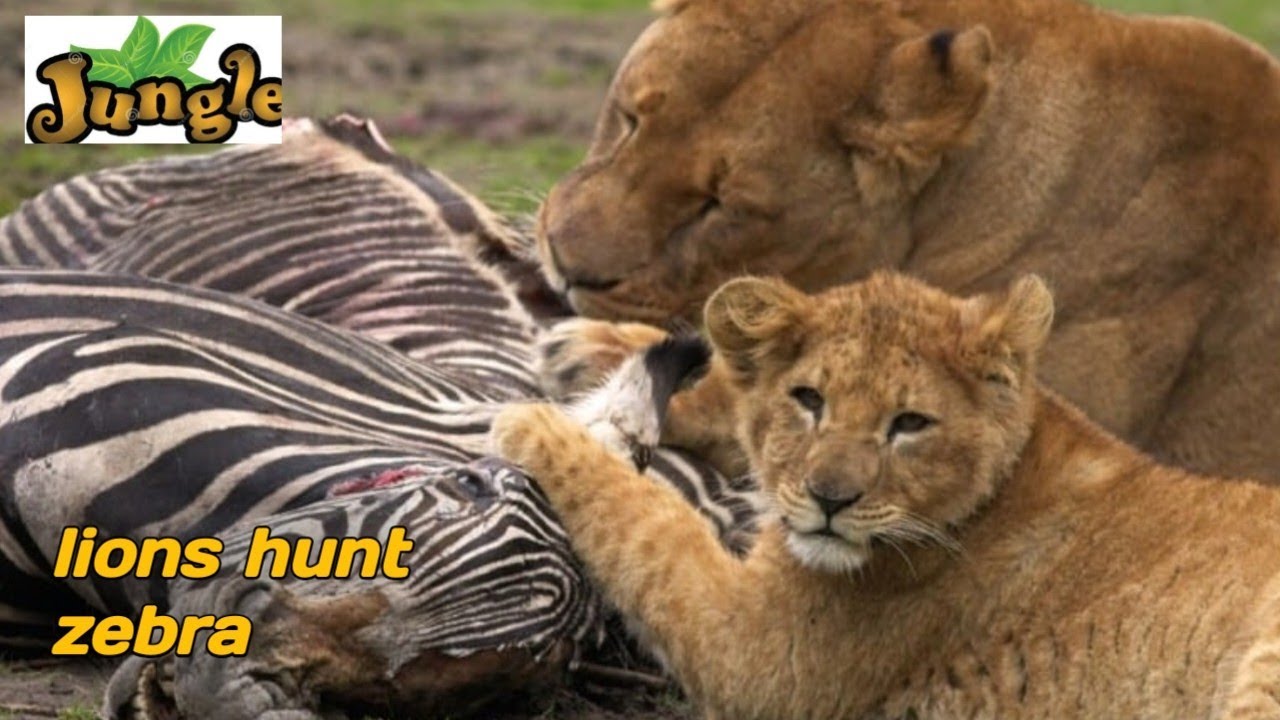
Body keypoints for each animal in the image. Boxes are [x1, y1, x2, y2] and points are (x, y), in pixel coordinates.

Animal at [492, 272, 1280, 719]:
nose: (829, 499)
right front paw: (592, 350)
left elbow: (649, 526)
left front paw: (539, 425)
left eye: (910, 424)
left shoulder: (761, 654)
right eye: (809, 401)